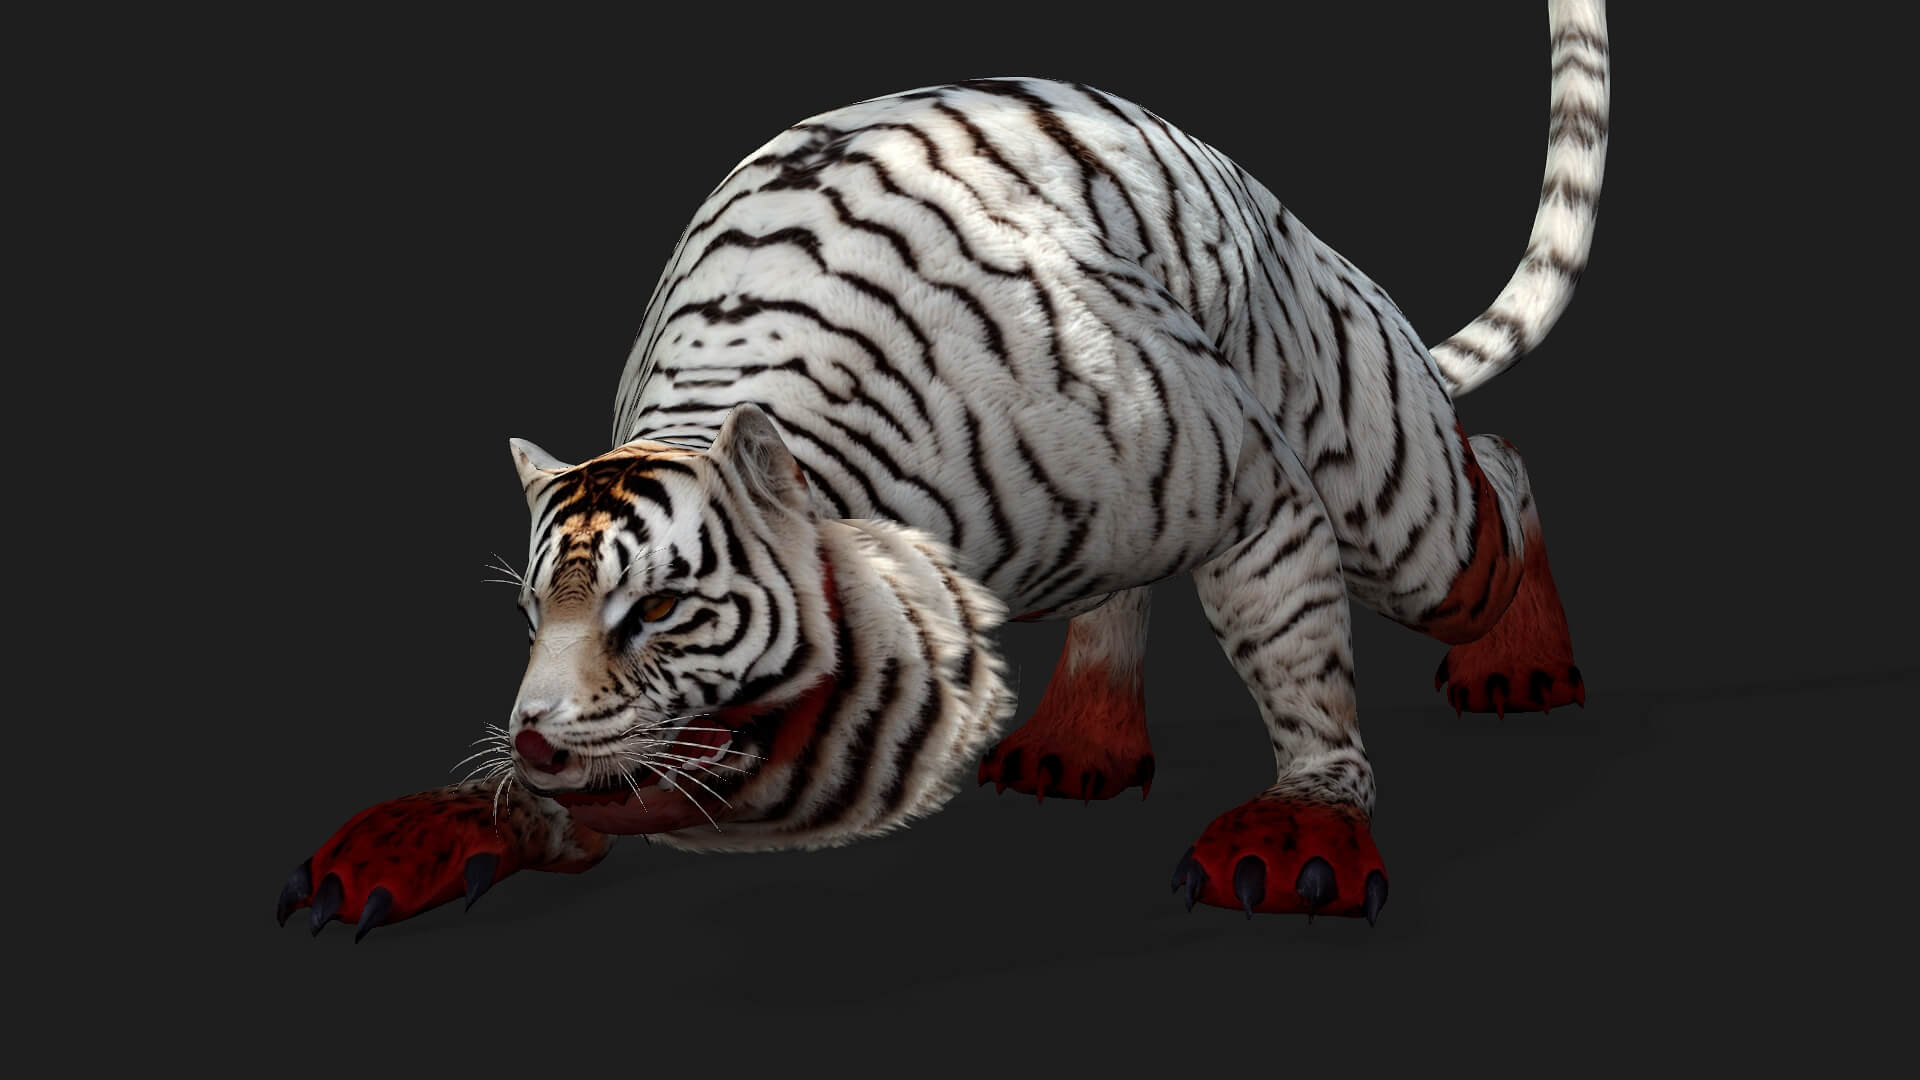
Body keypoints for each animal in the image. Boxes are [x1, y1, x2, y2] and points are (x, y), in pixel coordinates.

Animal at [277, 0, 1608, 941]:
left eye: (654, 611)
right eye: (529, 615)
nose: (538, 740)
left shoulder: (1251, 486)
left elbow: (1299, 664)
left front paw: (1302, 822)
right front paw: (446, 824)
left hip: (1387, 486)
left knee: (1489, 478)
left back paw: (1519, 659)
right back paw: (1082, 740)